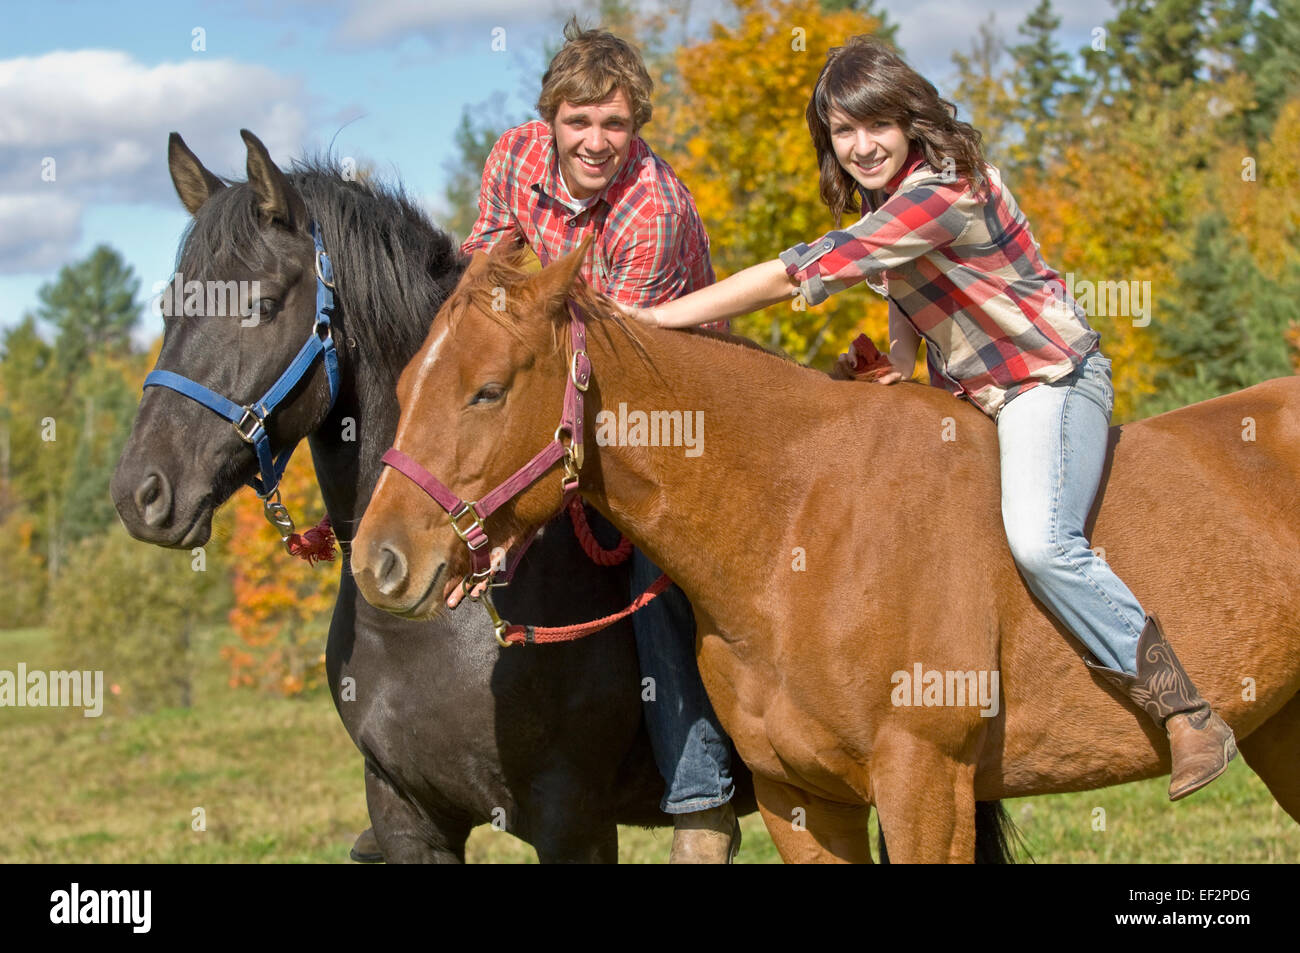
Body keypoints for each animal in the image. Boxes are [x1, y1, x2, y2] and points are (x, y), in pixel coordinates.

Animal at [350, 238, 1300, 863]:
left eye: (488, 390)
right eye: (405, 382)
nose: (378, 560)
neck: (798, 527)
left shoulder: (926, 786)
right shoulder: (798, 799)